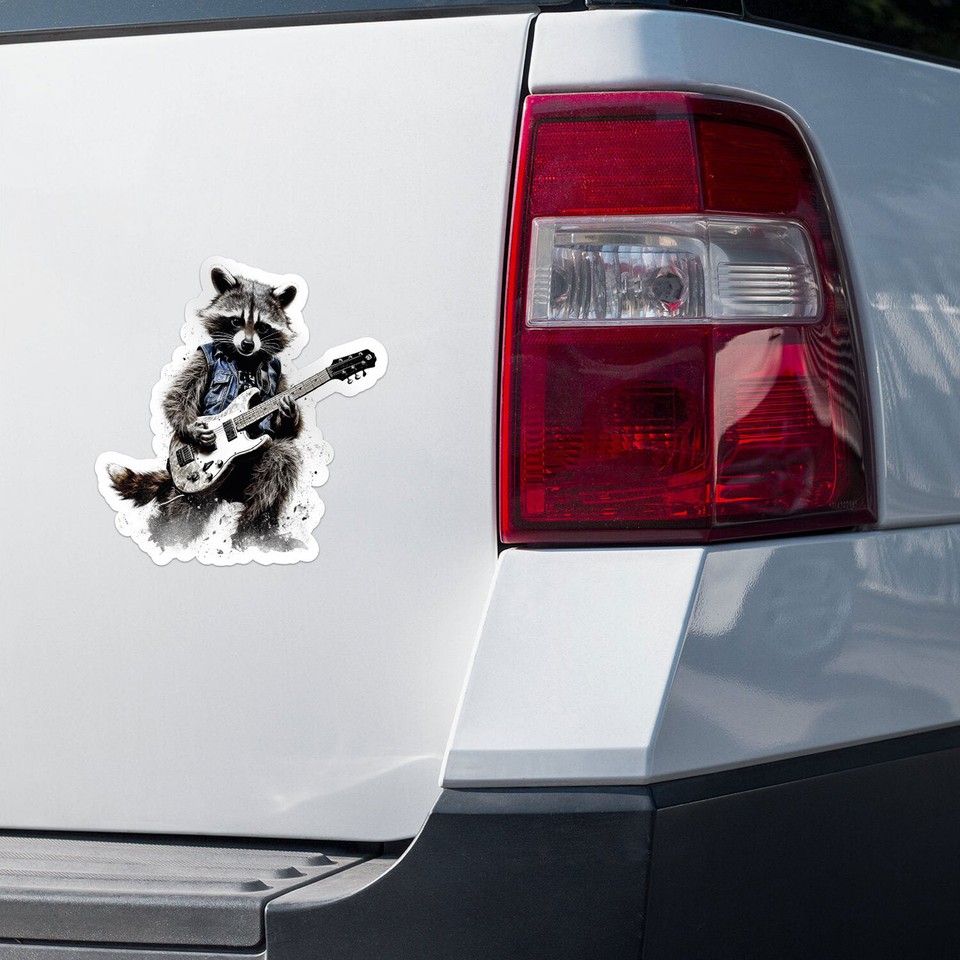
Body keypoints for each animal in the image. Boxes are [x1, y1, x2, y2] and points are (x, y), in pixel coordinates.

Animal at [108, 266, 305, 552]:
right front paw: (193, 429)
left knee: (280, 458)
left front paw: (288, 409)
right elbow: (177, 396)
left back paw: (256, 533)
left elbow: (286, 432)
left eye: (262, 327)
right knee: (182, 509)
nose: (247, 344)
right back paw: (171, 536)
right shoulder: (202, 358)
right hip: (192, 487)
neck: (243, 360)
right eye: (236, 322)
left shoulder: (278, 378)